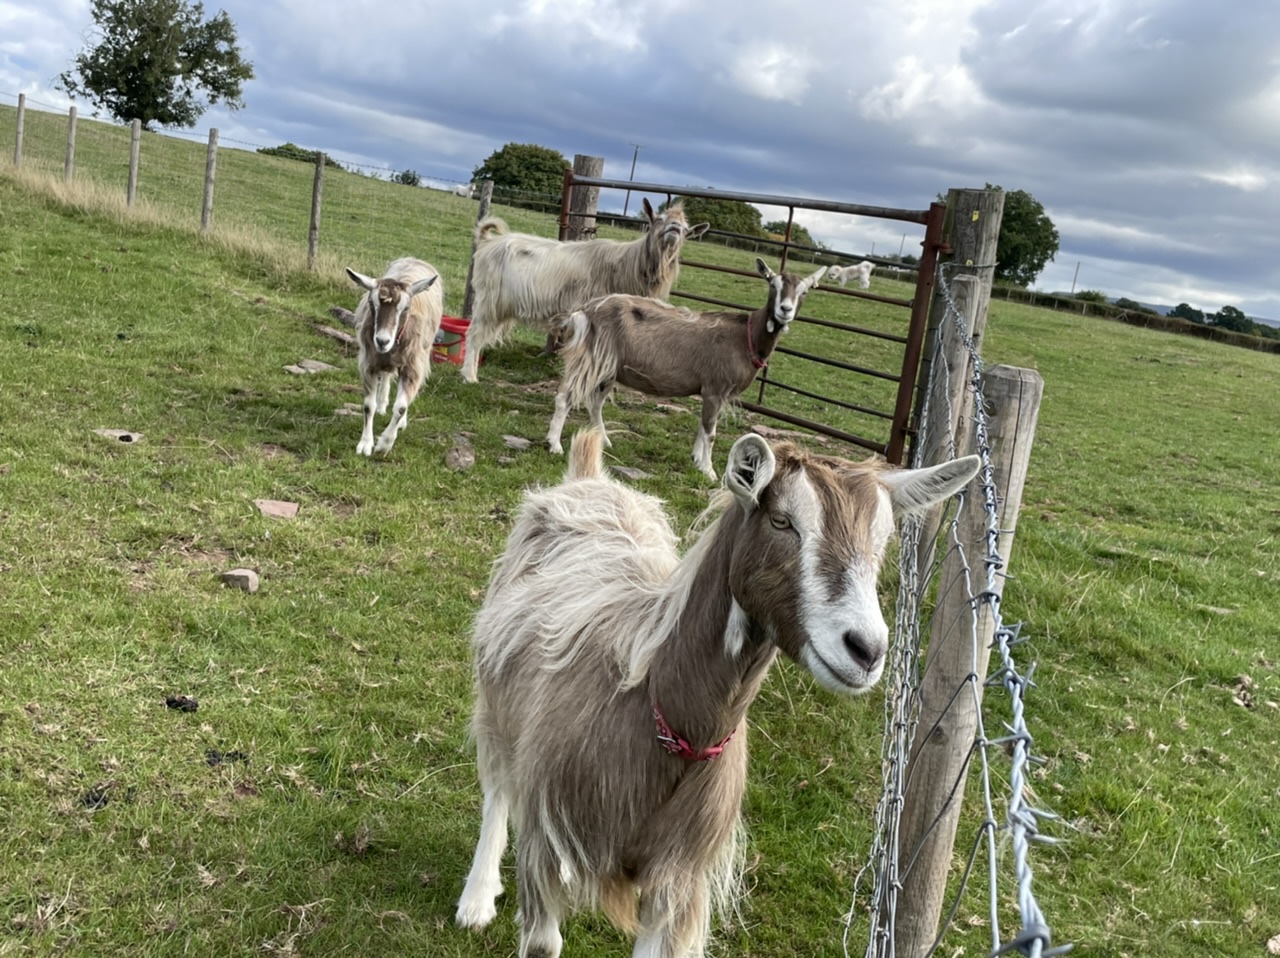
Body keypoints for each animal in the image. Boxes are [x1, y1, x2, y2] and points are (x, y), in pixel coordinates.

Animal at [344, 257, 443, 455]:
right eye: (372, 304)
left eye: (405, 308)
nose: (382, 341)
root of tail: (415, 259)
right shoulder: (369, 363)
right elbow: (368, 406)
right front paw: (365, 444)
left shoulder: (412, 367)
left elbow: (401, 407)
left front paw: (384, 445)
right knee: (387, 375)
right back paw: (383, 404)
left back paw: (401, 422)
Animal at [455, 427, 981, 958]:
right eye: (782, 520)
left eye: (883, 541)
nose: (867, 650)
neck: (666, 719)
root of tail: (588, 478)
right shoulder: (546, 848)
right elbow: (543, 936)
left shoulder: (677, 879)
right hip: (497, 698)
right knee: (498, 784)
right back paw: (477, 898)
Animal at [460, 198, 709, 383]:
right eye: (658, 219)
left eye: (686, 229)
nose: (674, 228)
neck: (627, 265)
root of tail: (488, 241)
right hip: (489, 301)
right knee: (474, 334)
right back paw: (470, 377)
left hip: (501, 307)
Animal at [546, 257, 826, 480]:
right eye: (772, 284)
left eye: (804, 292)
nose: (785, 310)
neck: (746, 337)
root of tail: (584, 311)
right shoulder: (715, 387)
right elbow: (710, 432)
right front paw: (709, 470)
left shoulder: (714, 392)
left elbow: (703, 426)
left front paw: (696, 460)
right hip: (593, 357)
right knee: (566, 396)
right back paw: (554, 444)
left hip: (610, 367)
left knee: (595, 403)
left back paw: (602, 439)